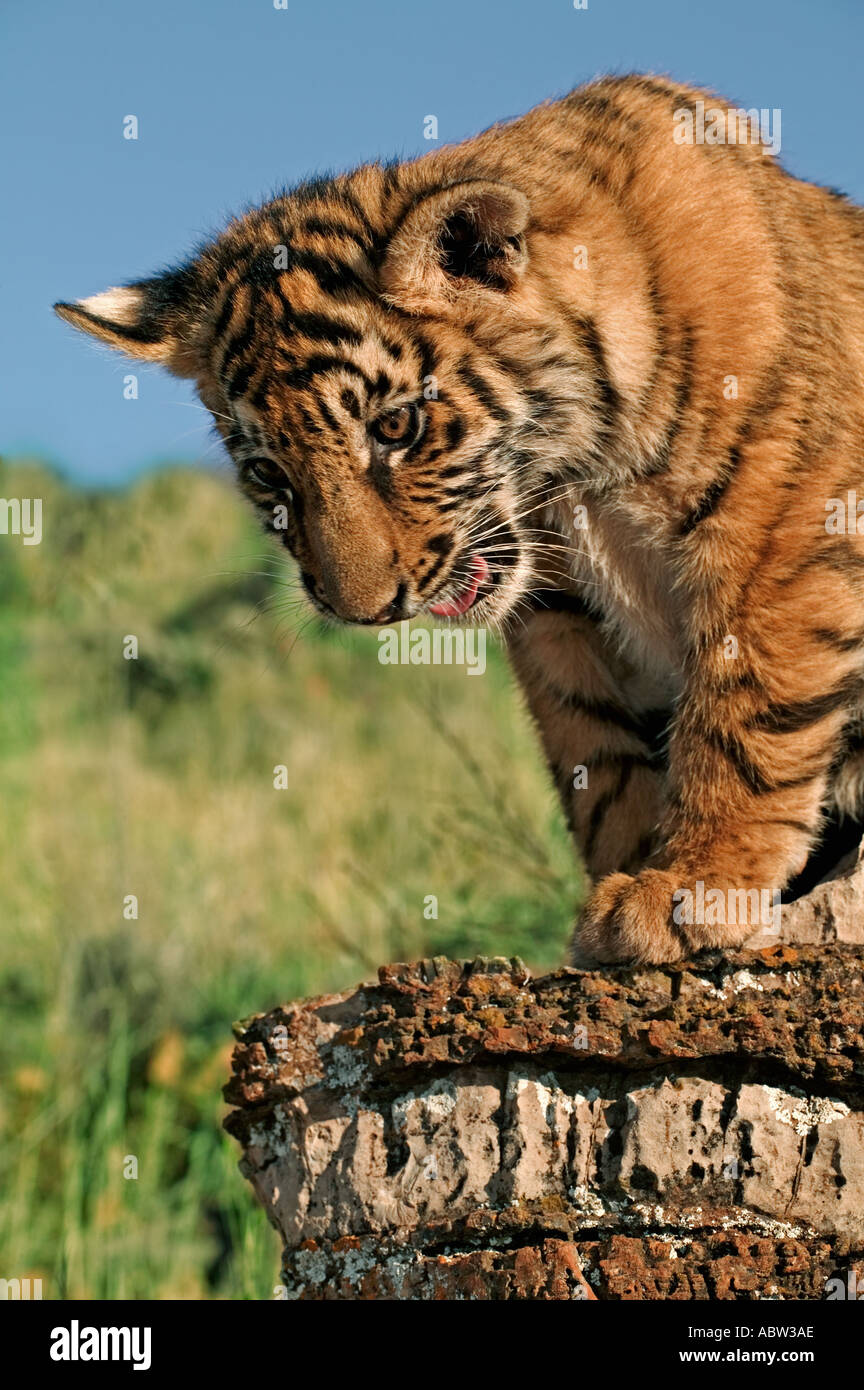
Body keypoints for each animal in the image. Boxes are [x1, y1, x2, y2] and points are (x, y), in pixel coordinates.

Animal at [55, 74, 864, 965]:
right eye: (268, 474)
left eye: (395, 428)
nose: (363, 611)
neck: (579, 472)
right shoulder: (559, 611)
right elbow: (597, 757)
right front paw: (625, 889)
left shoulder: (777, 524)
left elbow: (744, 711)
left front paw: (692, 888)